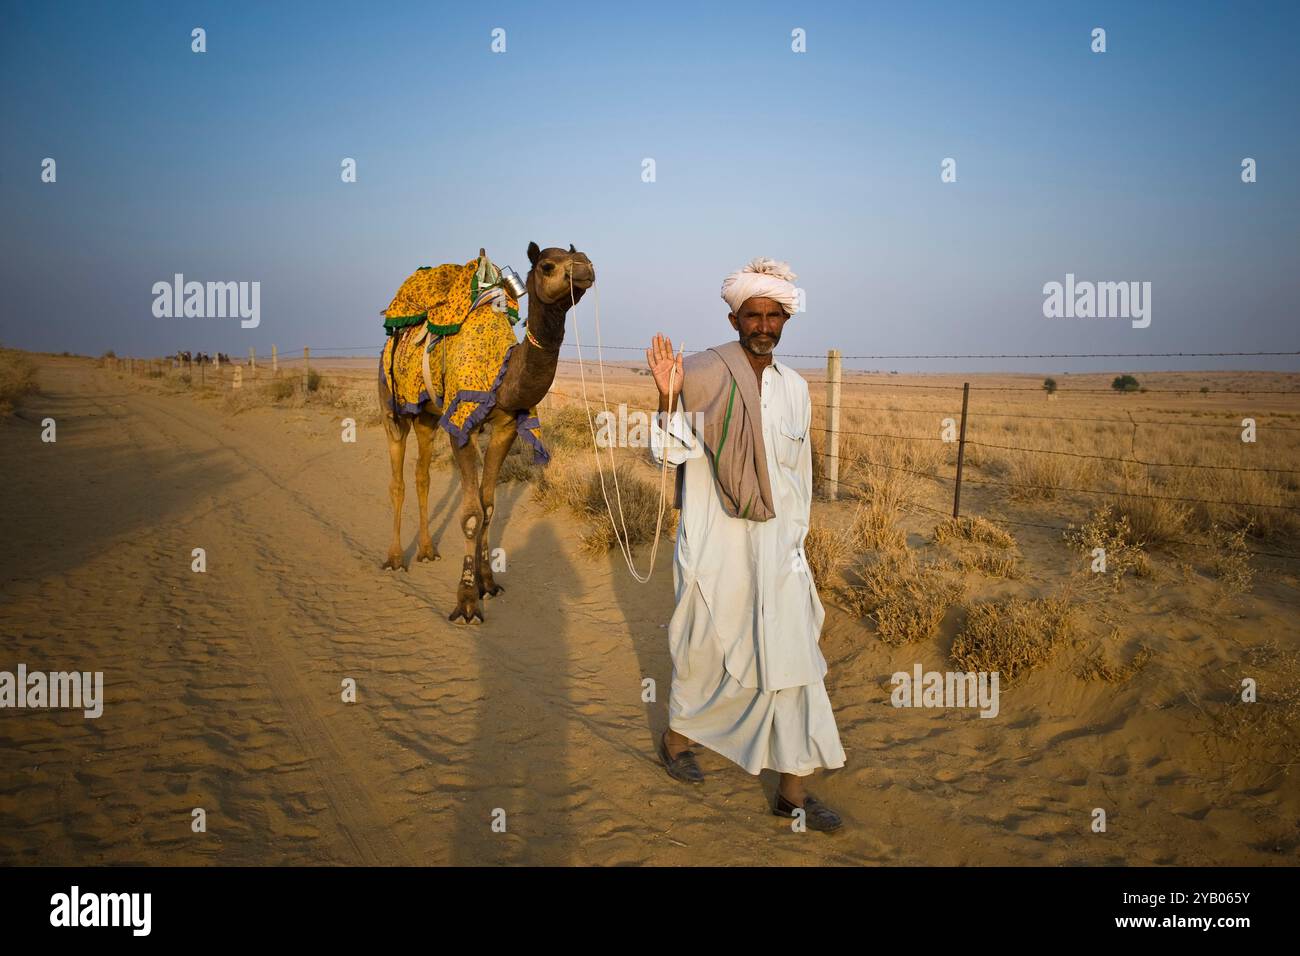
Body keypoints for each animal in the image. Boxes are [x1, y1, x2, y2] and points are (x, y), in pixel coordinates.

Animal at [377, 242, 595, 624]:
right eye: (548, 265)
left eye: (582, 255)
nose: (585, 268)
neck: (503, 375)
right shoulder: (461, 426)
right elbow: (471, 514)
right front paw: (466, 602)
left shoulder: (505, 427)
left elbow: (489, 505)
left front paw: (488, 584)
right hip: (392, 407)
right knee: (397, 480)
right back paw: (394, 559)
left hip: (427, 416)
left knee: (421, 475)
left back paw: (427, 550)